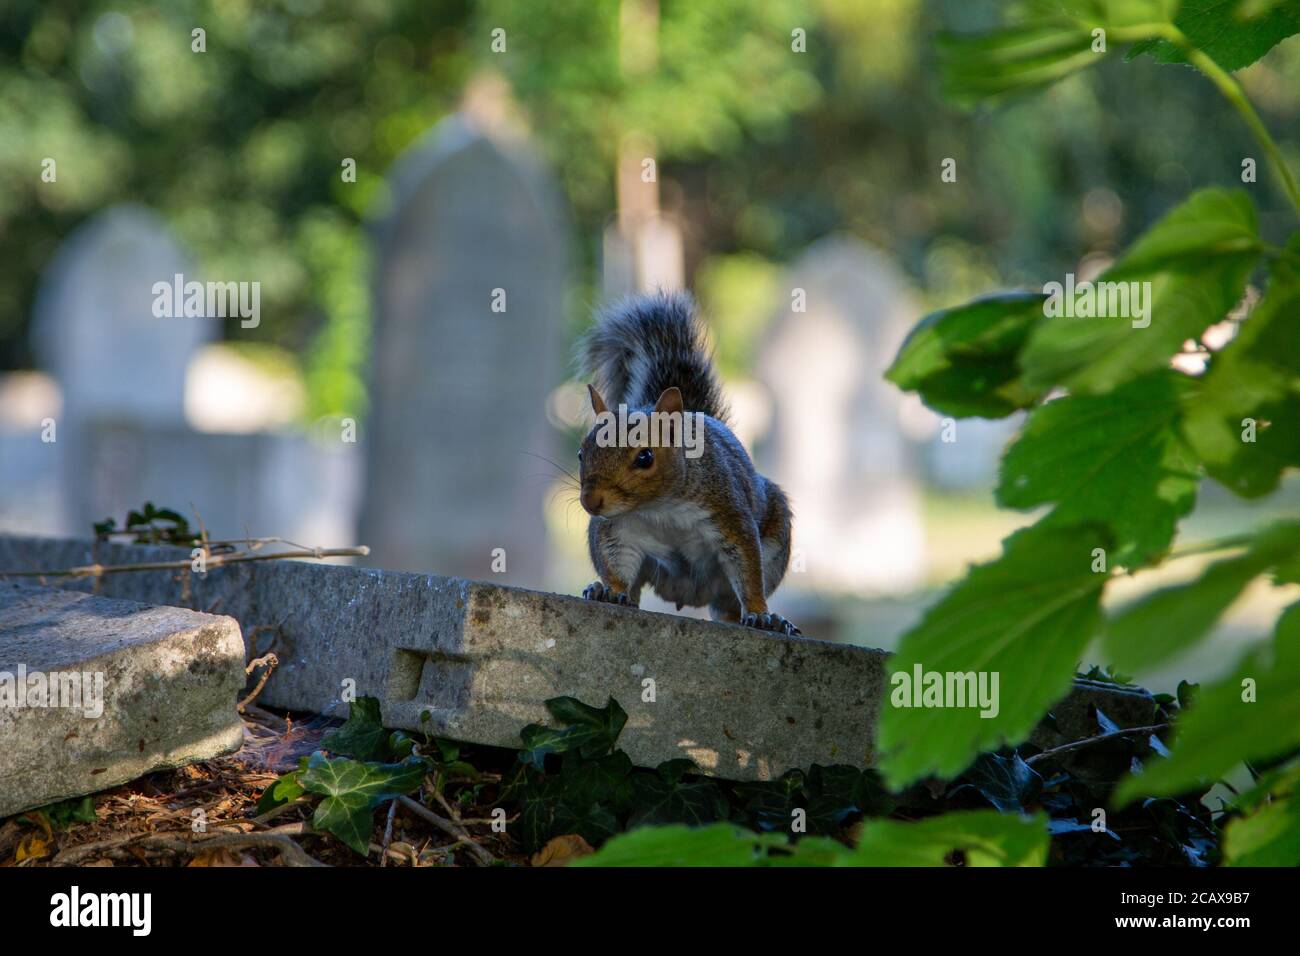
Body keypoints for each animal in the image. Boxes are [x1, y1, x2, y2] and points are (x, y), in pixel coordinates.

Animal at [576, 290, 800, 636]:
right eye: (581, 453)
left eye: (645, 457)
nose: (590, 501)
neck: (660, 508)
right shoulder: (619, 529)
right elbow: (616, 560)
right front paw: (612, 591)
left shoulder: (728, 514)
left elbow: (748, 567)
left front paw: (760, 613)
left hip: (772, 544)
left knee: (727, 607)